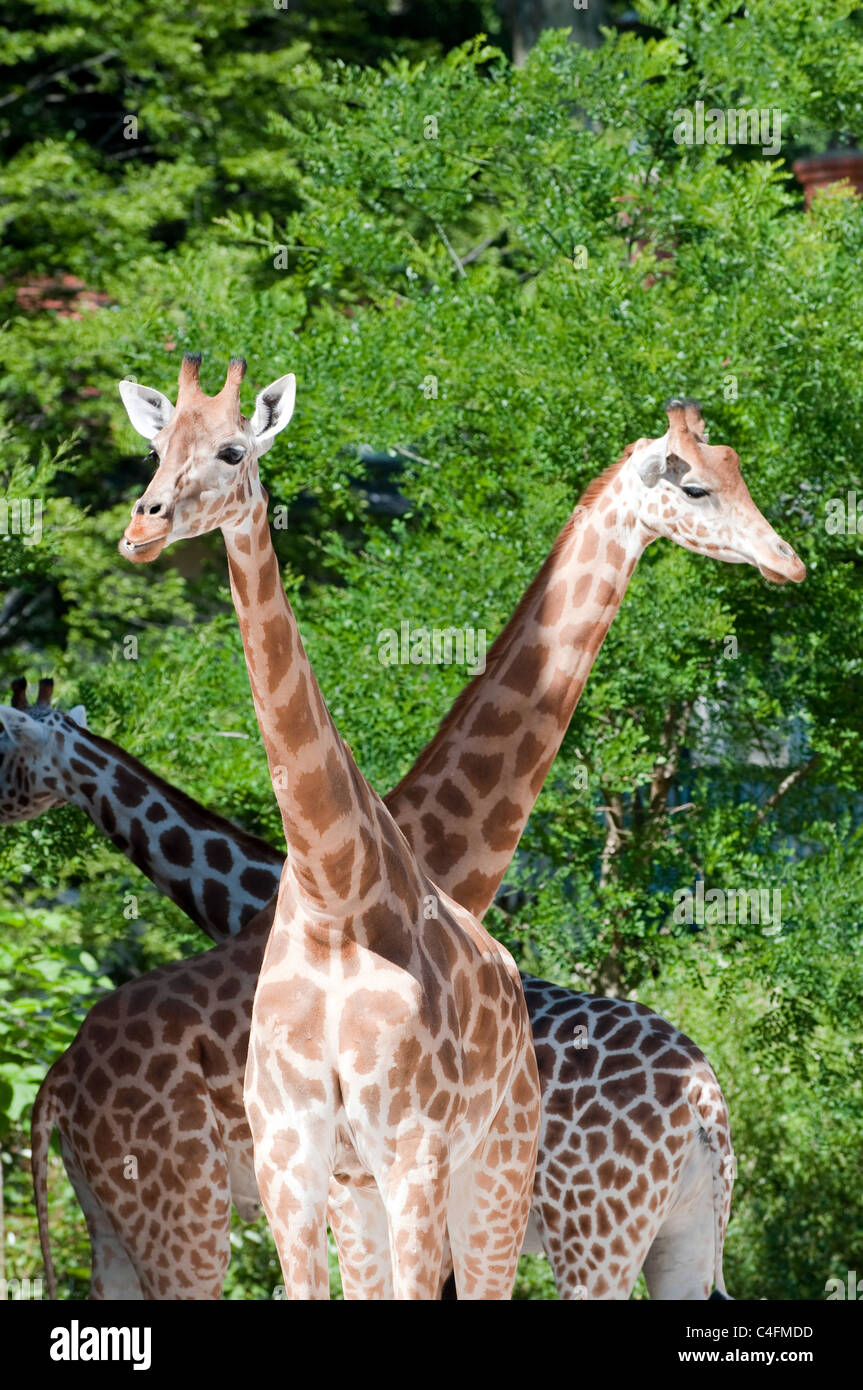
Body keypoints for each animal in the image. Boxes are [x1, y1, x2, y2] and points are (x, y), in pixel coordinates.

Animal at [117, 353, 542, 1300]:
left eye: (233, 450)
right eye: (156, 448)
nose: (140, 527)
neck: (332, 896)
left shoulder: (414, 1151)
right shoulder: (291, 1158)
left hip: (497, 1168)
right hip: (367, 1191)